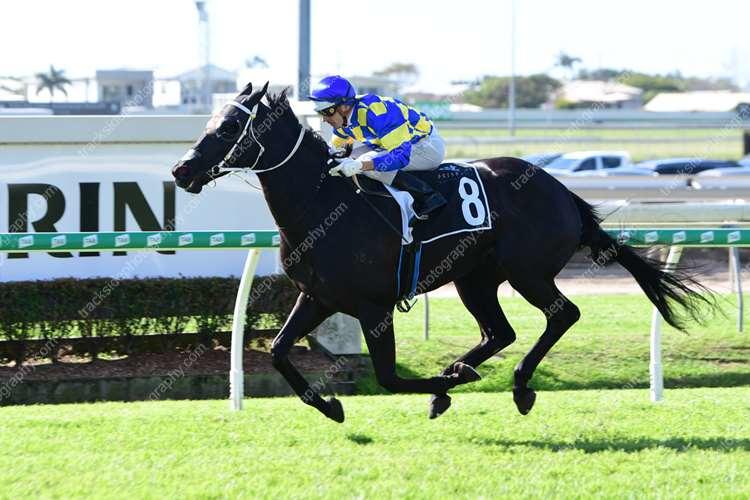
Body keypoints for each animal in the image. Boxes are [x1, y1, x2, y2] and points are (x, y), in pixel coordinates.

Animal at [172, 82, 710, 422]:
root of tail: (560, 189)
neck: (322, 204)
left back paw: (516, 386)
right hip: (476, 278)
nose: (181, 170)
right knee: (500, 331)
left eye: (227, 129)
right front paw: (331, 406)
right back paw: (462, 369)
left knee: (563, 314)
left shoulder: (374, 306)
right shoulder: (316, 296)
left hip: (528, 272)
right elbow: (280, 353)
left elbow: (388, 378)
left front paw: (439, 391)